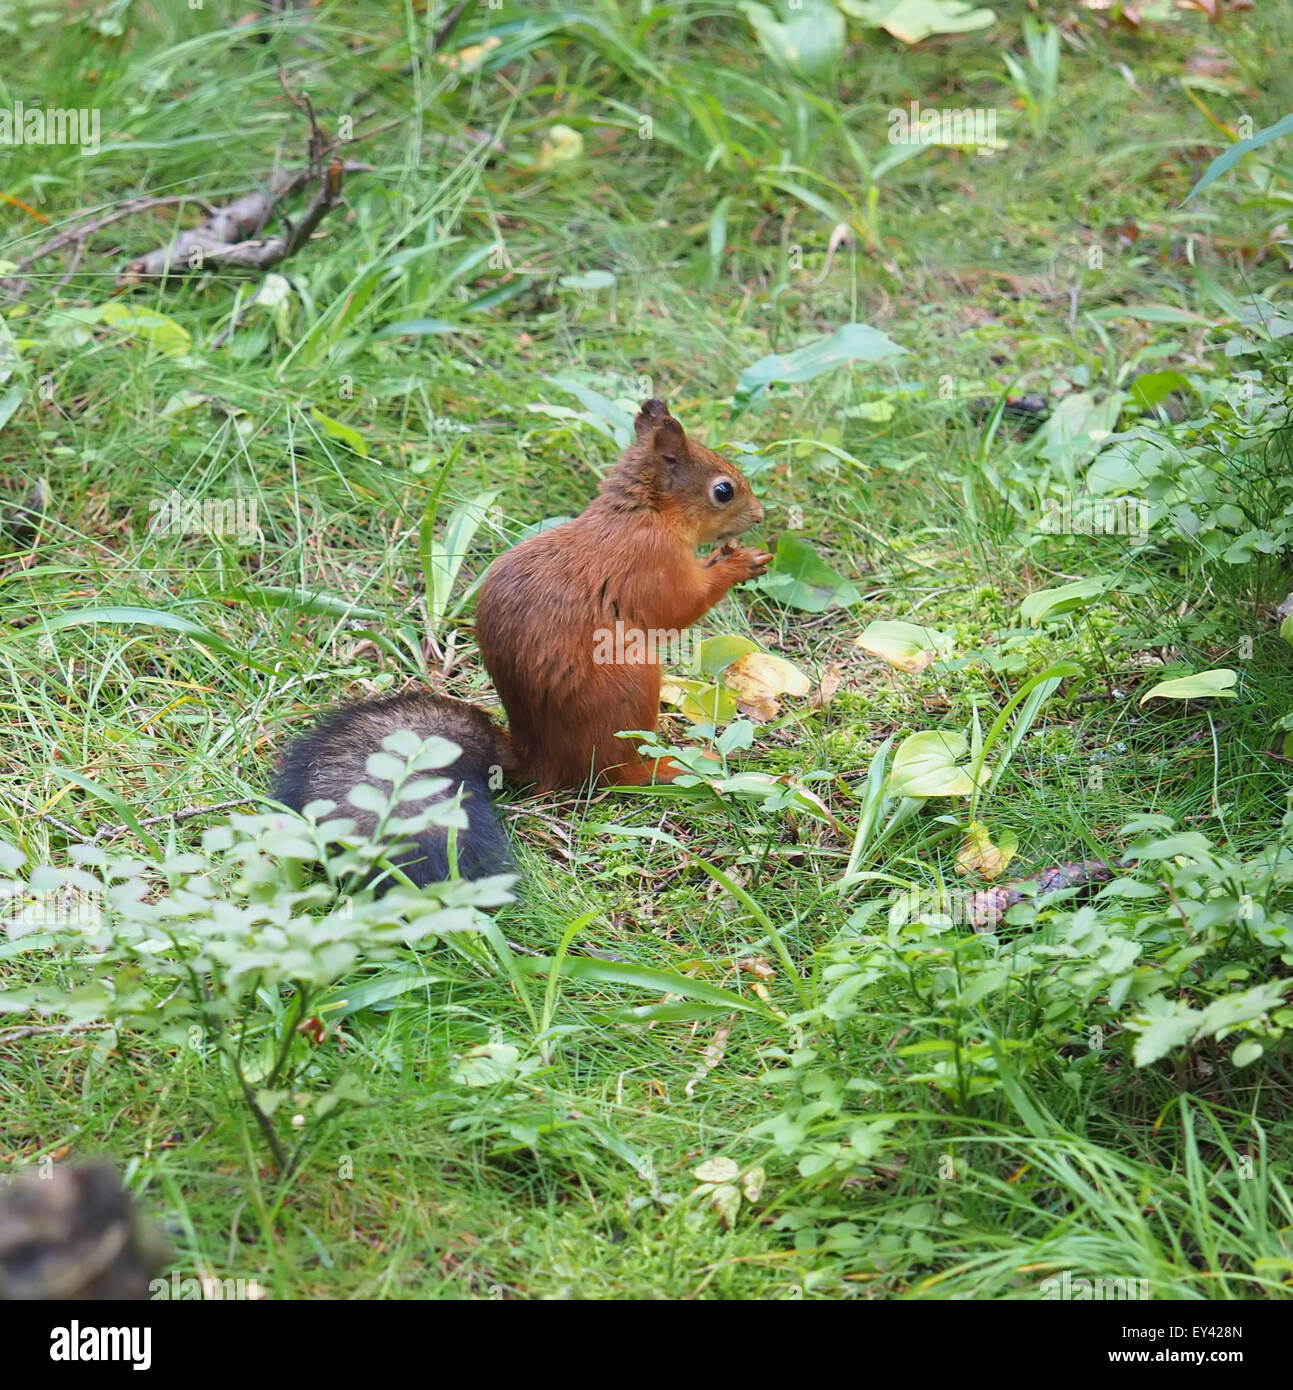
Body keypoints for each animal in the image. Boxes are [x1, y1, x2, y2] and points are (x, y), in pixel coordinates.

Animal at [272, 398, 771, 889]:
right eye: (723, 490)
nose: (760, 518)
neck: (644, 513)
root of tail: (542, 761)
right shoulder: (652, 563)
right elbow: (679, 607)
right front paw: (739, 563)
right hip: (633, 685)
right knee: (616, 776)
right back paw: (668, 768)